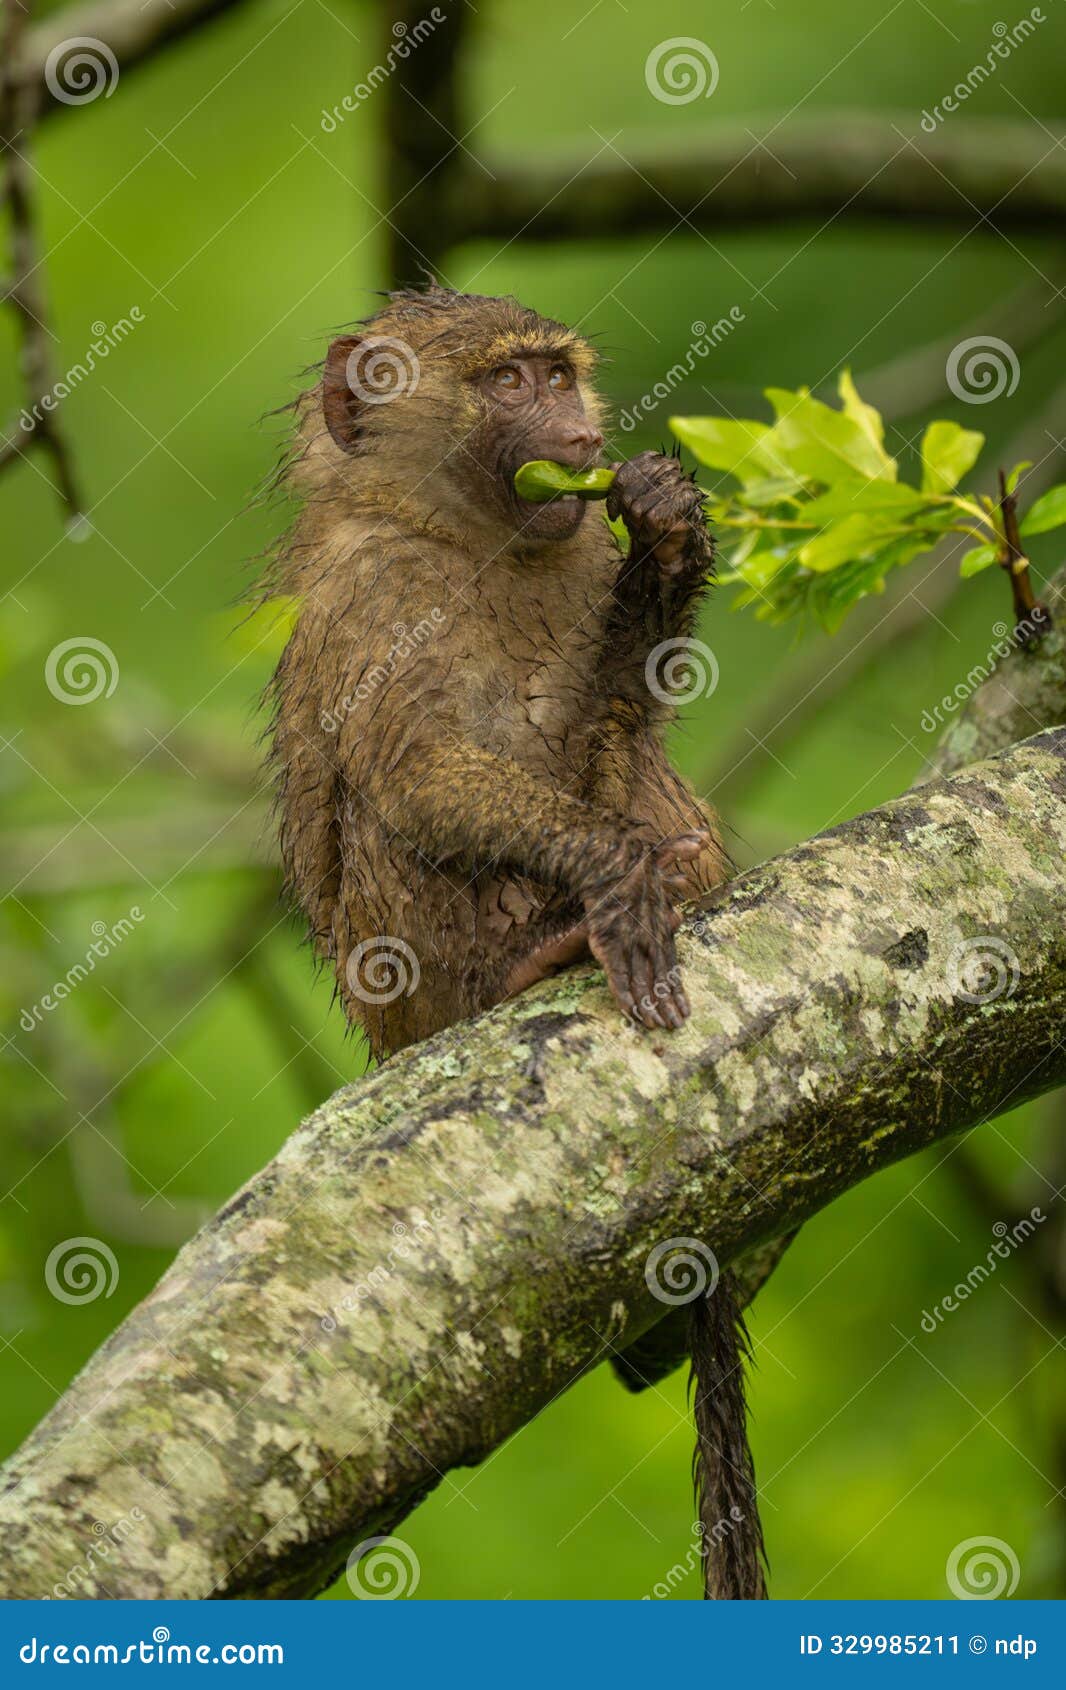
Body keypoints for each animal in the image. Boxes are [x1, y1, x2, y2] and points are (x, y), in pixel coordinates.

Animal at [262, 285, 766, 1600]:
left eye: (555, 373)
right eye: (505, 382)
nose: (575, 429)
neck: (471, 540)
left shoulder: (577, 551)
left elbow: (615, 716)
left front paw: (668, 535)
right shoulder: (378, 592)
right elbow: (418, 773)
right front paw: (609, 878)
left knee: (632, 768)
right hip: (409, 983)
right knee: (398, 819)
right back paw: (541, 956)